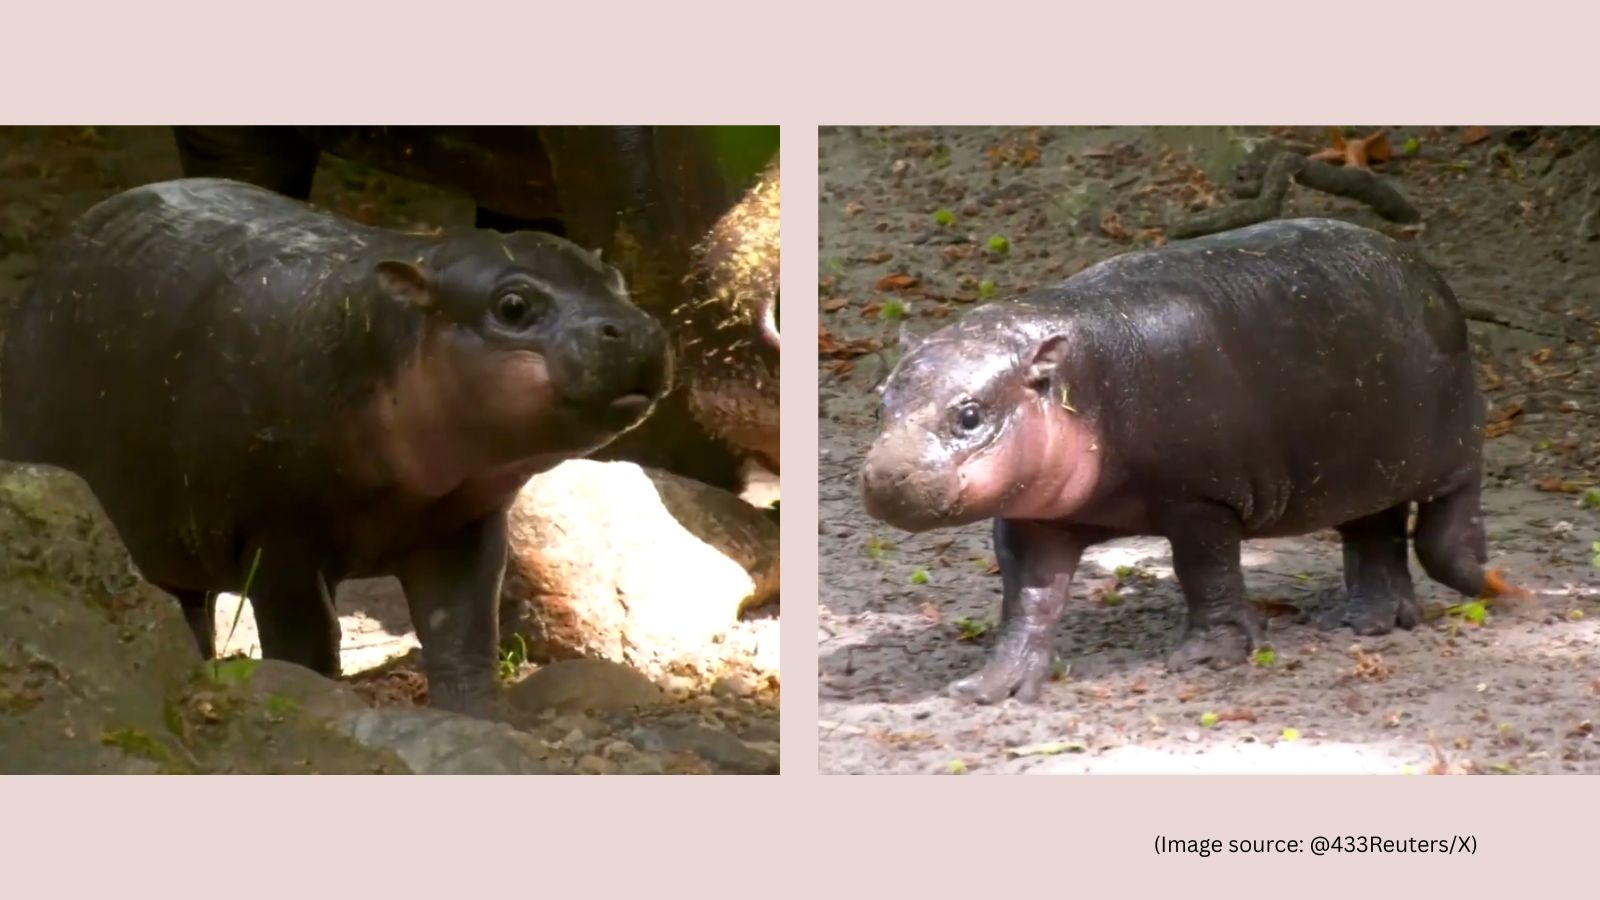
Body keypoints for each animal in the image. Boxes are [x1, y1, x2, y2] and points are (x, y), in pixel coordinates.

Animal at [0, 177, 670, 717]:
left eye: (617, 281)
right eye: (513, 305)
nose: (638, 329)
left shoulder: (462, 524)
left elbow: (463, 631)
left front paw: (479, 719)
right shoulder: (278, 537)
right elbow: (308, 640)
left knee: (189, 610)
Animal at [860, 217, 1510, 704]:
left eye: (969, 415)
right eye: (882, 397)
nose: (884, 476)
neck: (1077, 382)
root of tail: (1426, 271)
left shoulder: (1202, 500)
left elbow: (1205, 572)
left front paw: (1207, 658)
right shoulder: (1033, 518)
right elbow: (1029, 597)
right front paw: (989, 687)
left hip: (1450, 444)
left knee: (1449, 513)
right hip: (1362, 468)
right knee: (1375, 531)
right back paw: (1364, 622)